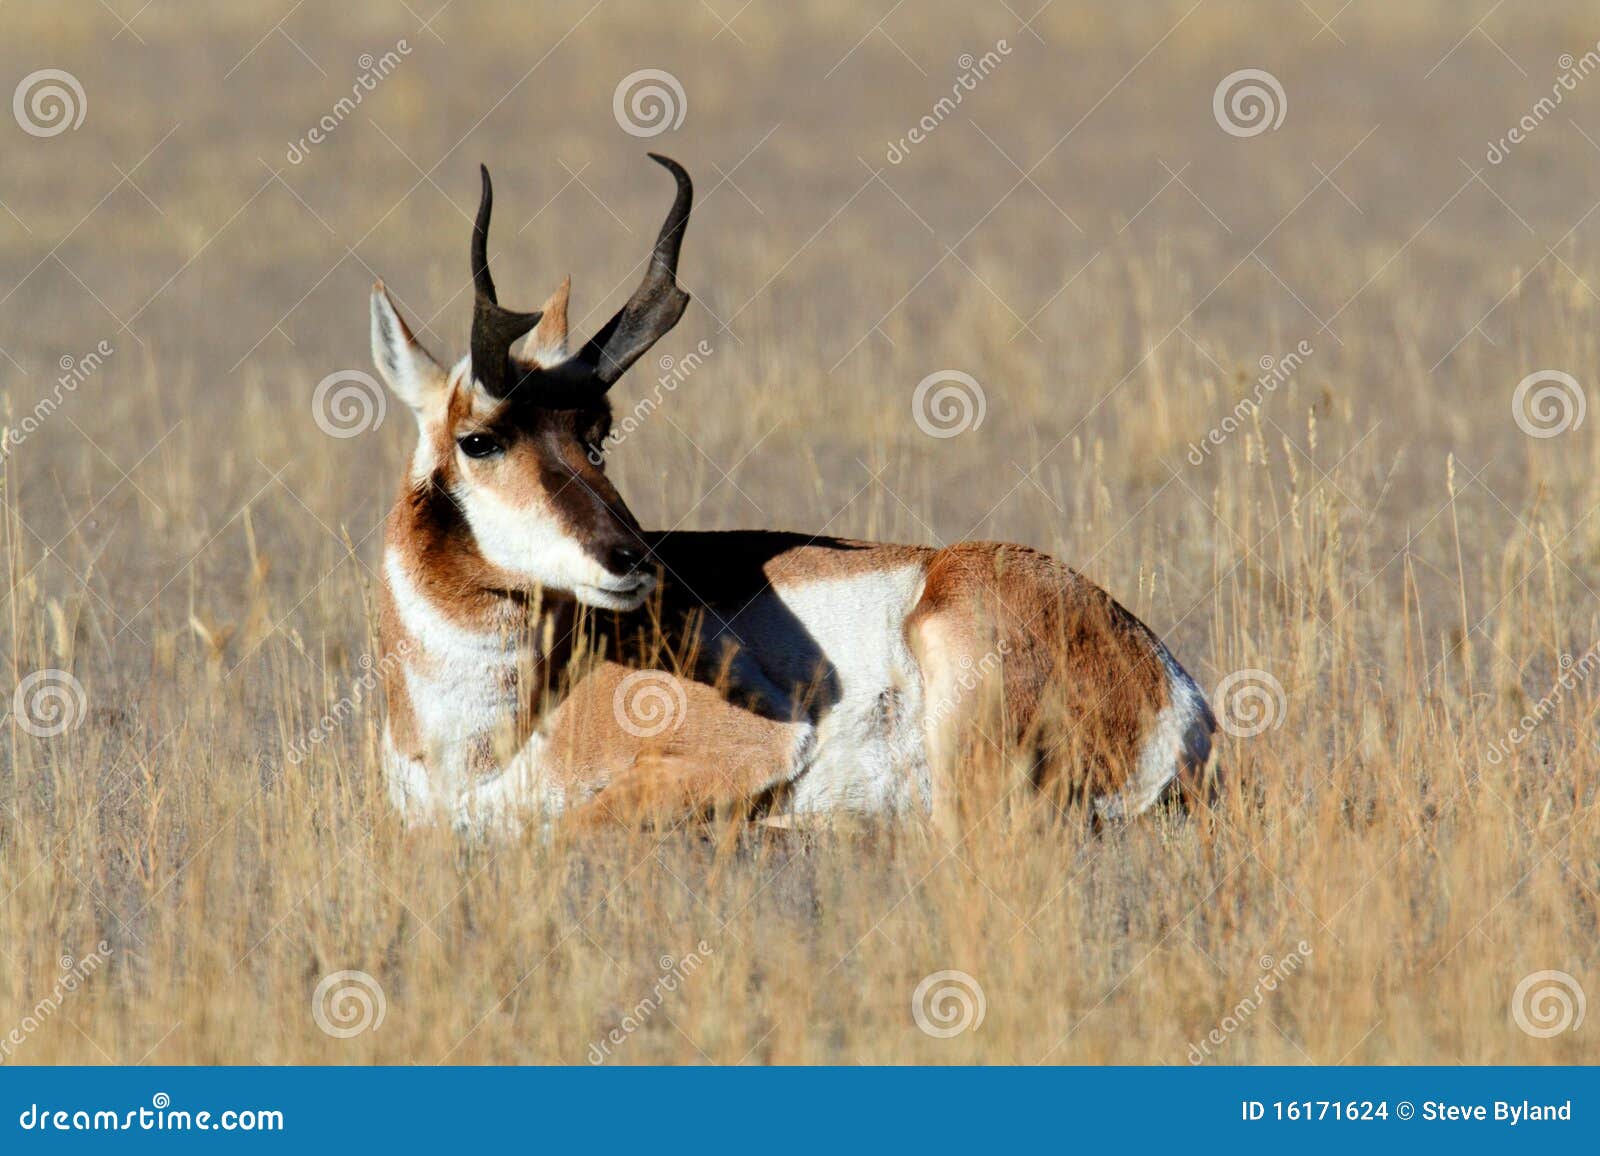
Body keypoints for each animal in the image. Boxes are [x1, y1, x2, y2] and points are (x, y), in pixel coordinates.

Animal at [369, 154, 1216, 835]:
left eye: (597, 435)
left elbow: (563, 826)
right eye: (480, 439)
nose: (634, 561)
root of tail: (1180, 697)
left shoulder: (752, 745)